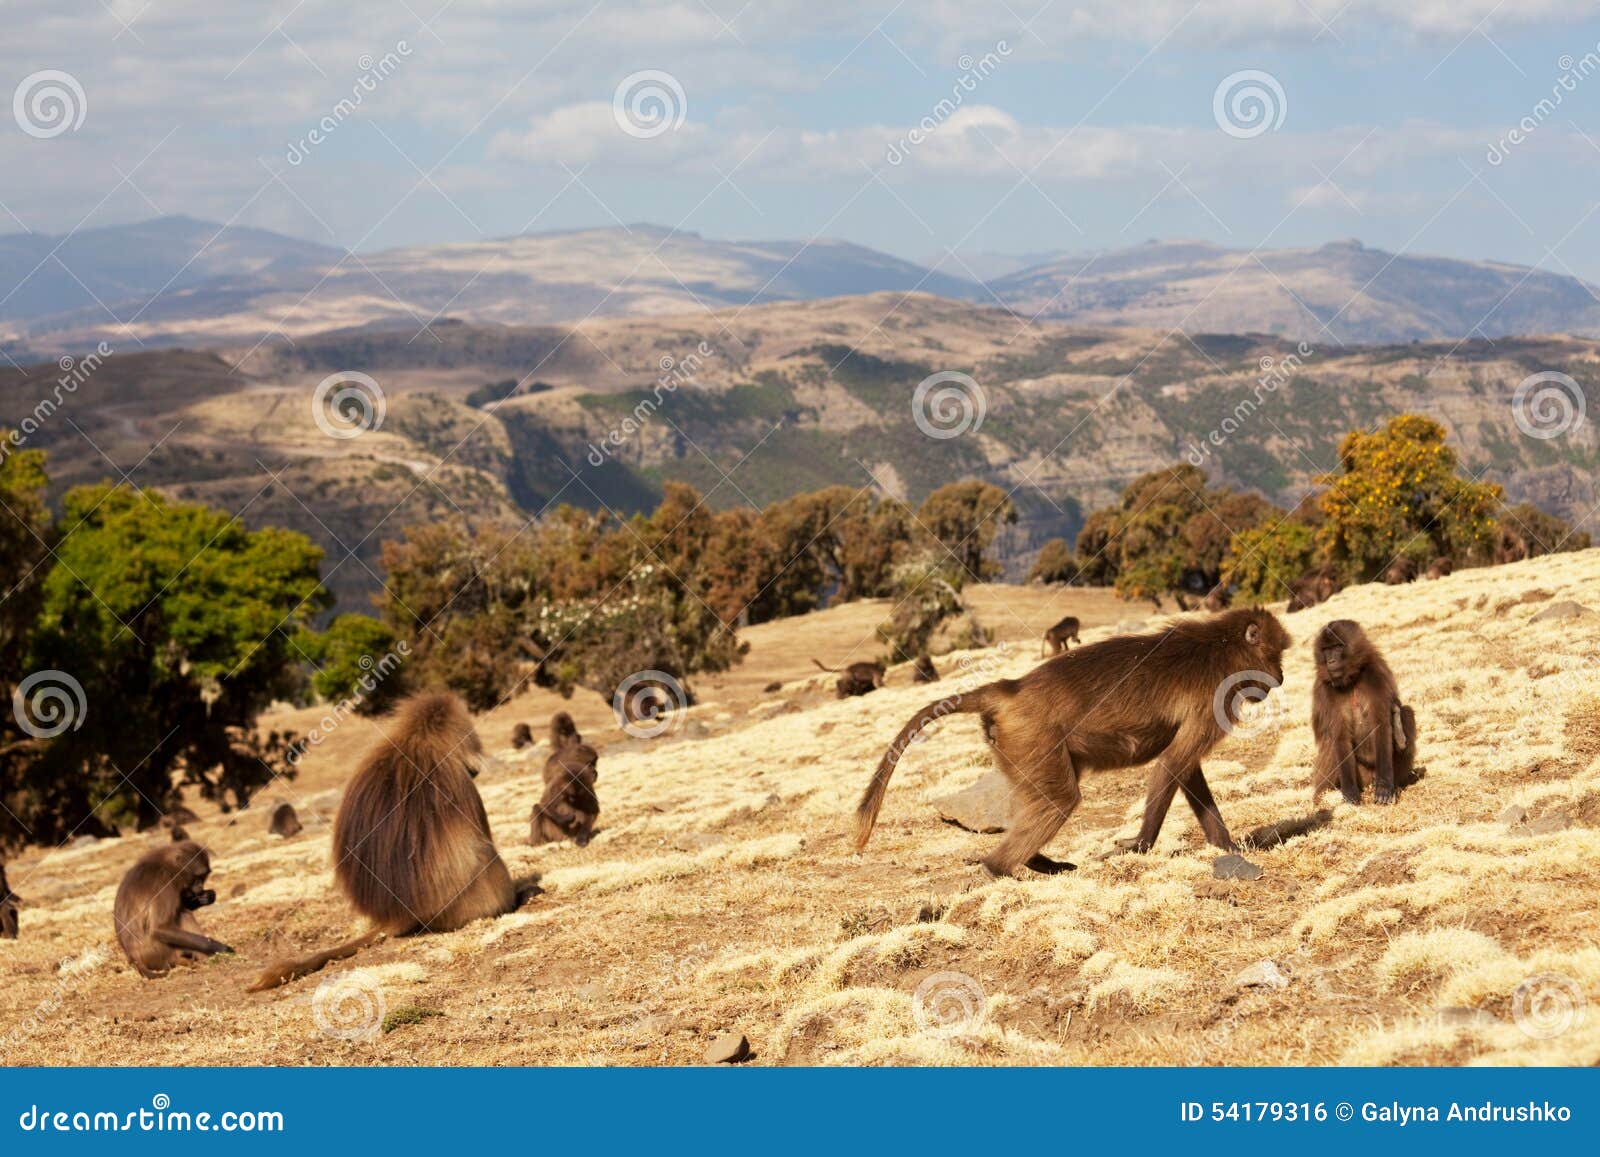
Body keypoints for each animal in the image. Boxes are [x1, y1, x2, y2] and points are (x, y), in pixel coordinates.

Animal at [113, 841, 235, 978]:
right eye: (197, 877)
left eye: (203, 877)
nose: (200, 887)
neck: (167, 865)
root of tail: (135, 959)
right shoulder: (165, 883)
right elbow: (160, 928)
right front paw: (220, 948)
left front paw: (206, 897)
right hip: (159, 953)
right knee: (183, 914)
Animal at [858, 608, 1292, 877]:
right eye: (1275, 654)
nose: (1281, 678)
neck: (1223, 647)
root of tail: (1012, 688)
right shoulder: (1211, 701)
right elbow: (1171, 764)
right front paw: (1139, 846)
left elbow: (1184, 770)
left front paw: (1226, 845)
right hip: (1033, 738)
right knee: (1060, 800)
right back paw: (998, 869)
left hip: (1014, 747)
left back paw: (1039, 864)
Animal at [1311, 620, 1417, 806]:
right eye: (1327, 649)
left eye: (1338, 647)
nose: (1331, 660)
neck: (1351, 679)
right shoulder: (1325, 689)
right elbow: (1340, 736)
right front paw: (1350, 792)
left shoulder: (1377, 674)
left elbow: (1381, 727)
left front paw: (1384, 789)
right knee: (1331, 740)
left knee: (1407, 712)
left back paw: (1399, 735)